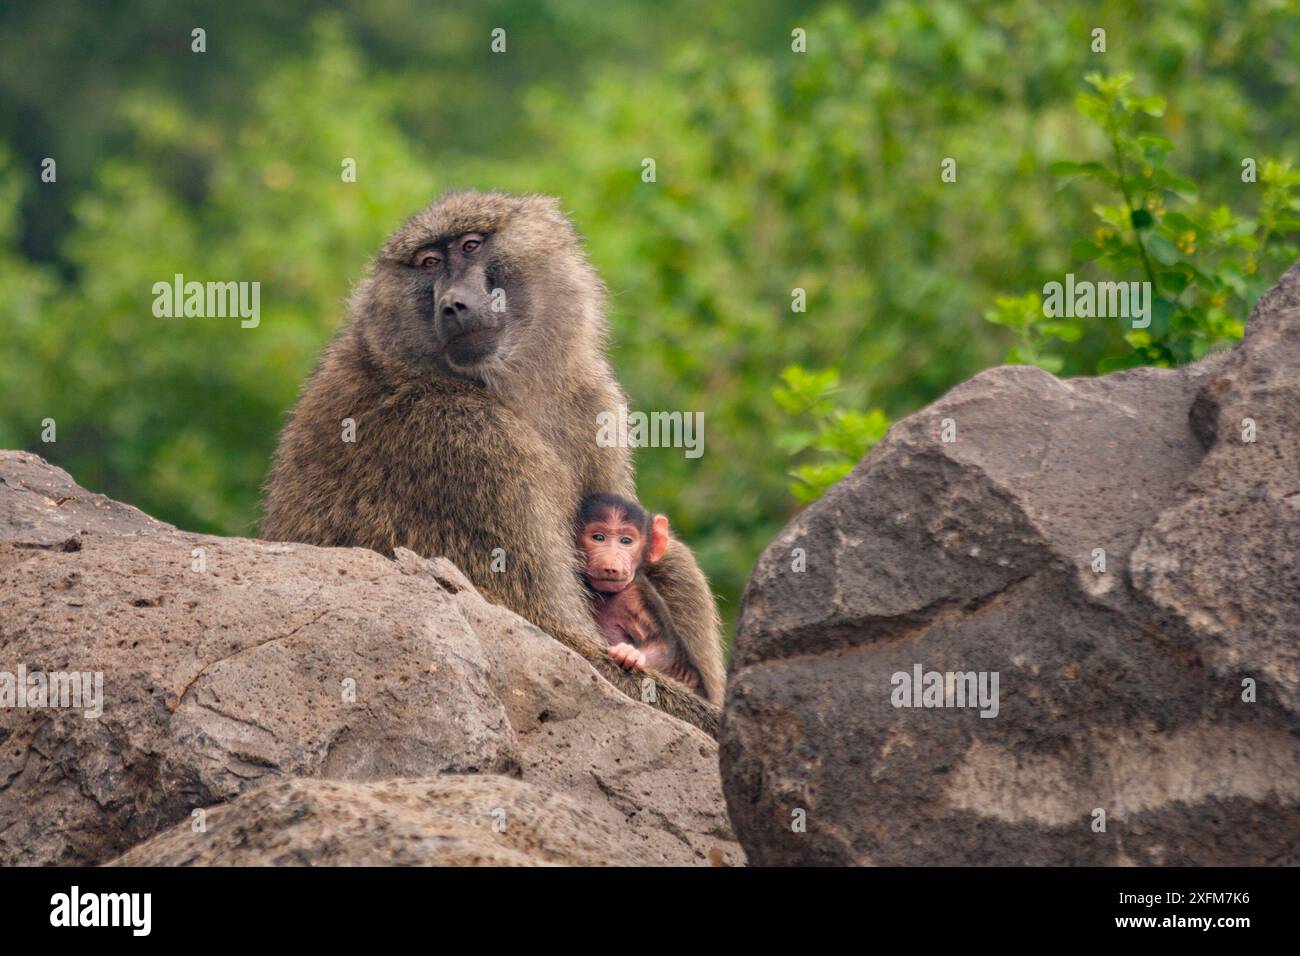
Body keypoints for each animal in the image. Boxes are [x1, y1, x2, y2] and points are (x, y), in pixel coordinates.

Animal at [575, 493, 705, 696]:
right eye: (598, 537)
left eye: (626, 541)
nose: (612, 564)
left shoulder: (636, 596)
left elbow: (662, 646)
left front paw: (630, 654)